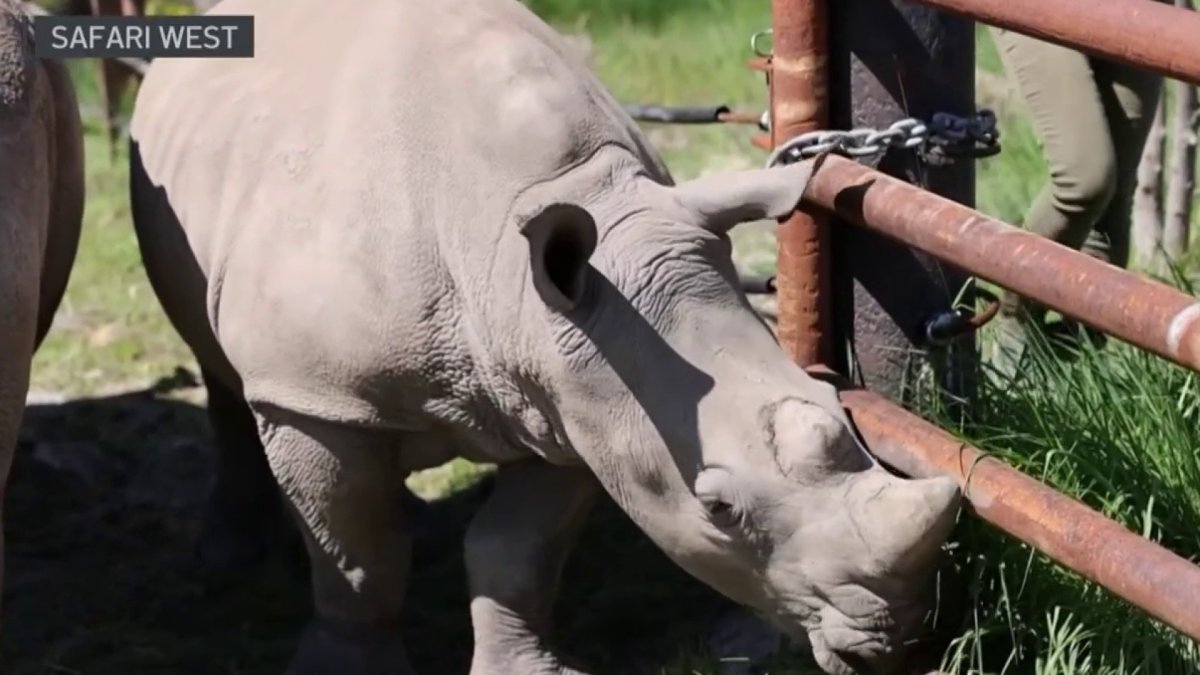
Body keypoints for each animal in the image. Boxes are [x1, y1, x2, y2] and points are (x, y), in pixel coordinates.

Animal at [126, 0, 962, 672]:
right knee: (219, 369)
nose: (899, 640)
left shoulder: (580, 391)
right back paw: (229, 554)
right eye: (719, 510)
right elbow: (357, 559)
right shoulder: (315, 396)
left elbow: (513, 550)